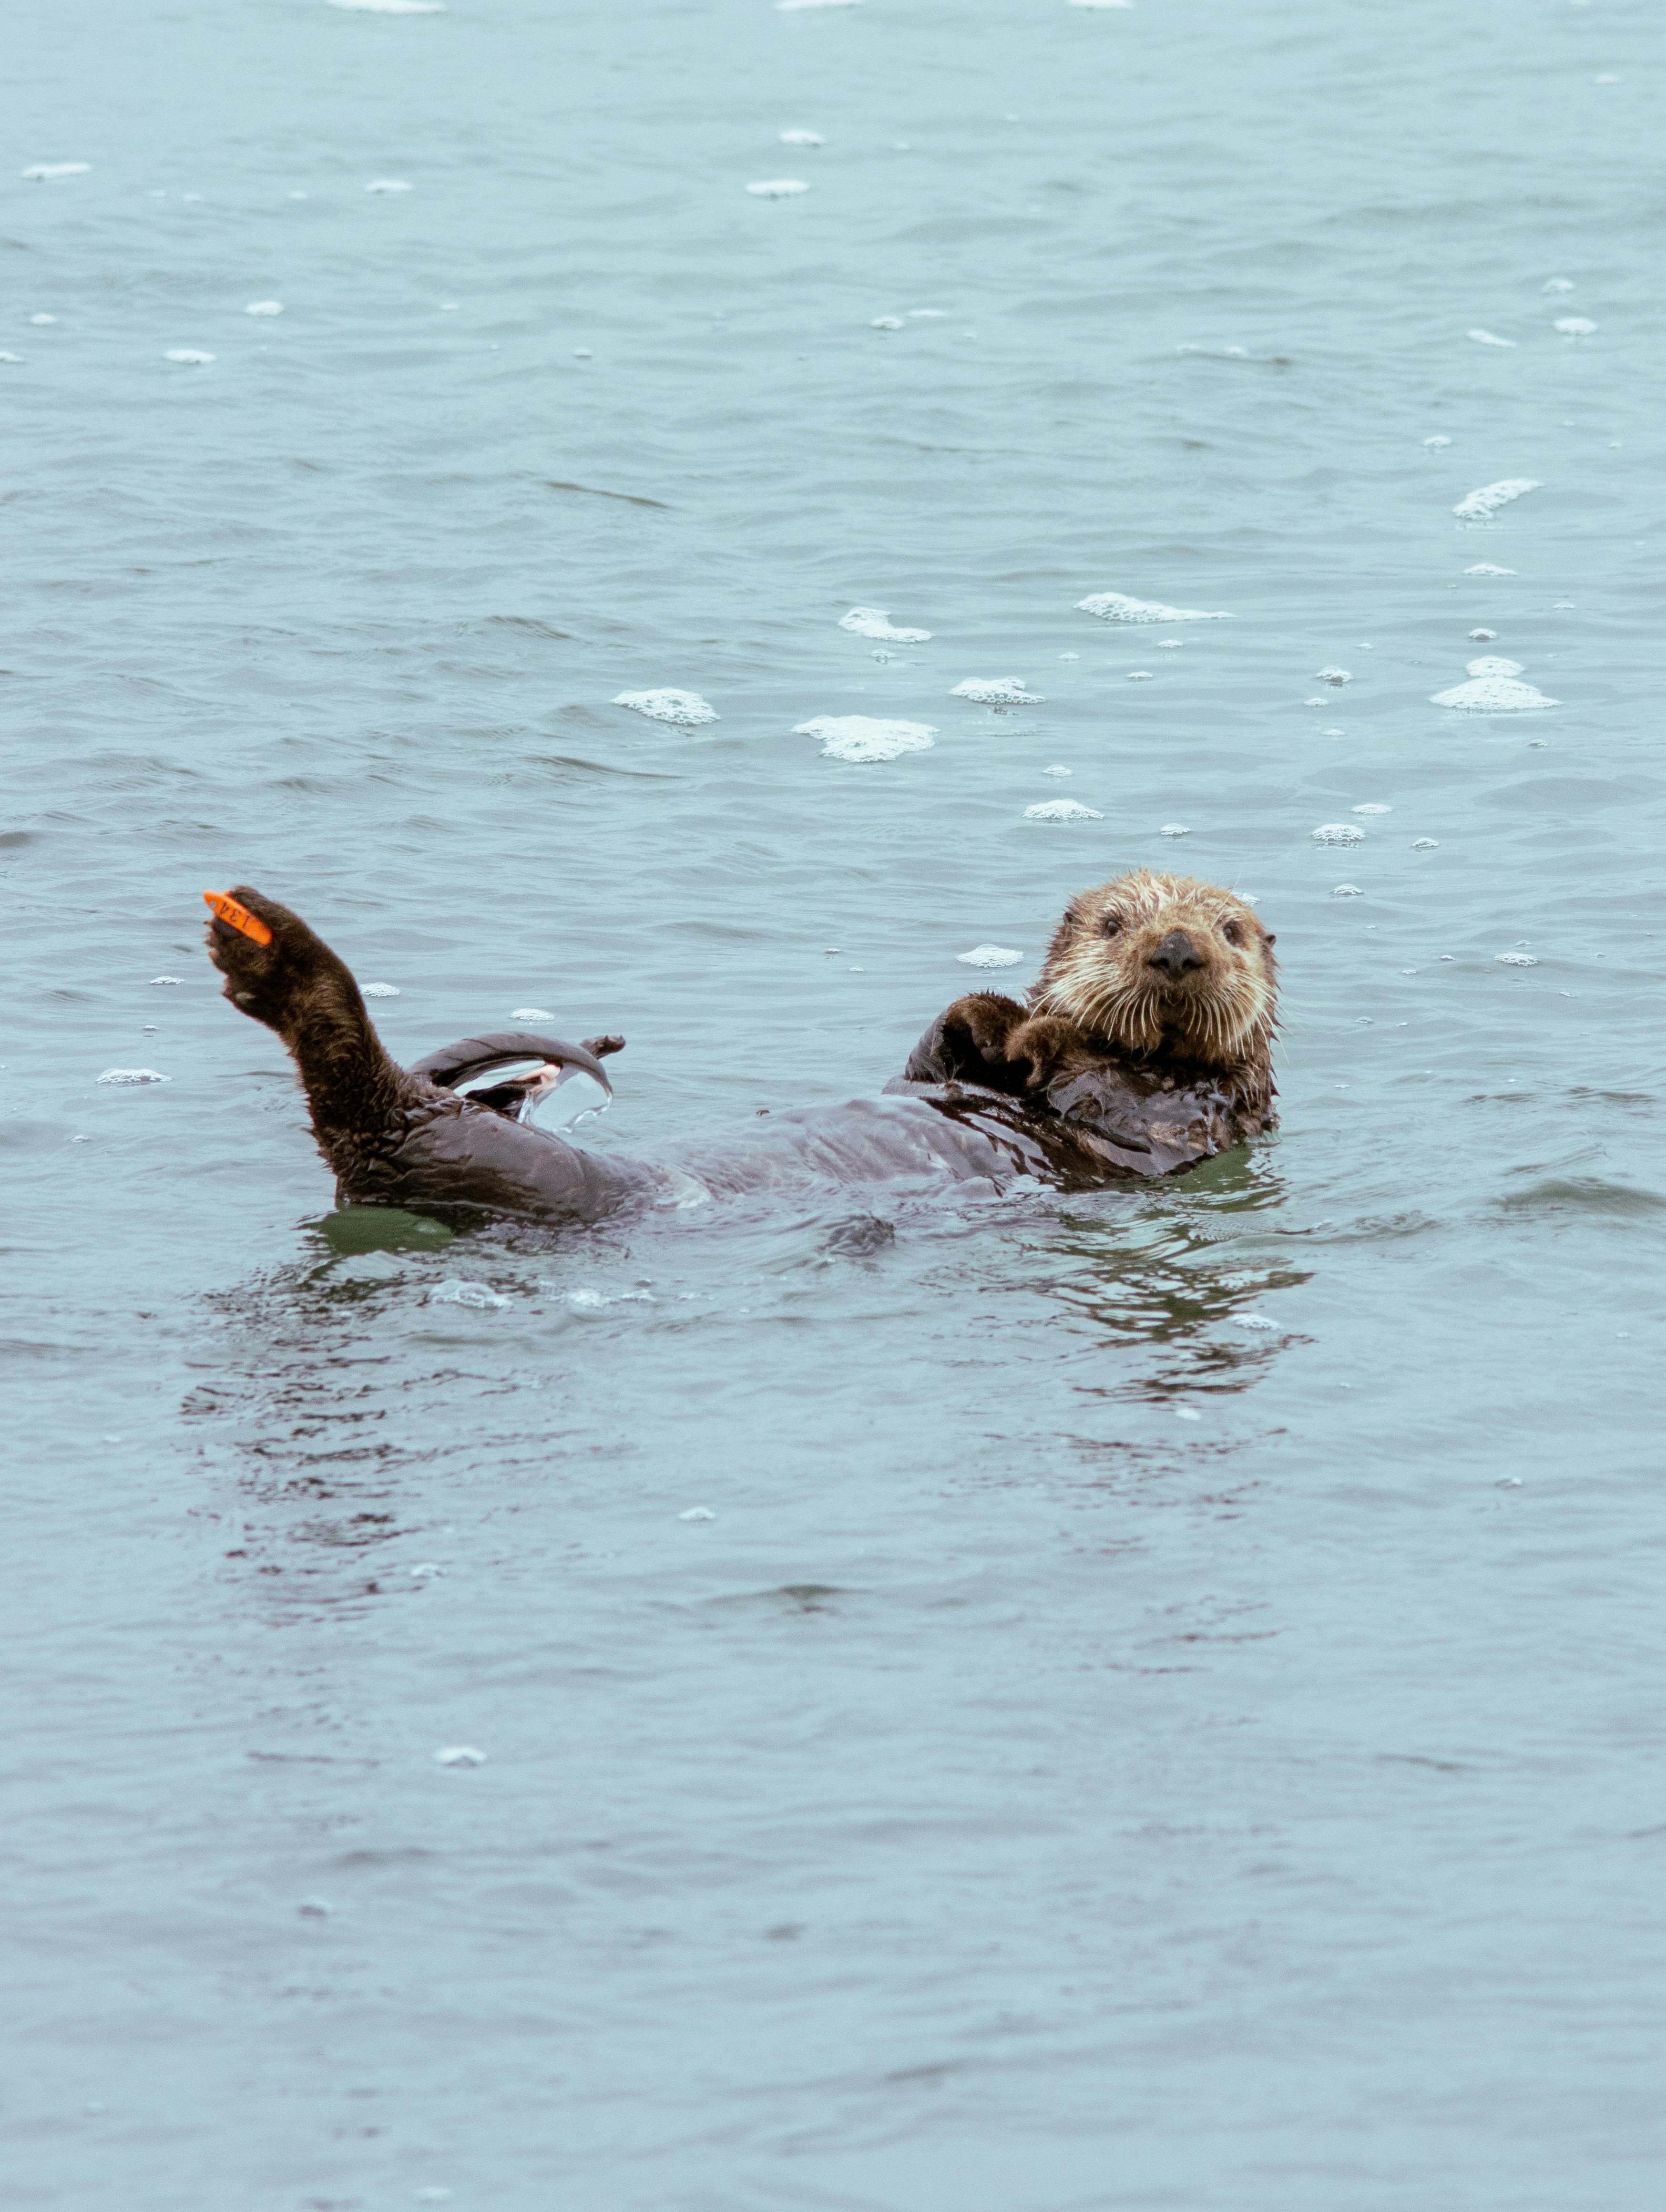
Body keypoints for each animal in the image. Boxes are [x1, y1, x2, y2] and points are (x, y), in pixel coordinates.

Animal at [203, 872, 1275, 1225]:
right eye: (1115, 921)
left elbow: (1102, 1090)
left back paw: (272, 958)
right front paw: (987, 1015)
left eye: (1227, 930)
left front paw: (1040, 1032)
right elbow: (934, 1059)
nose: (1176, 948)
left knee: (375, 1113)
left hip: (500, 1169)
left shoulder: (1188, 1113)